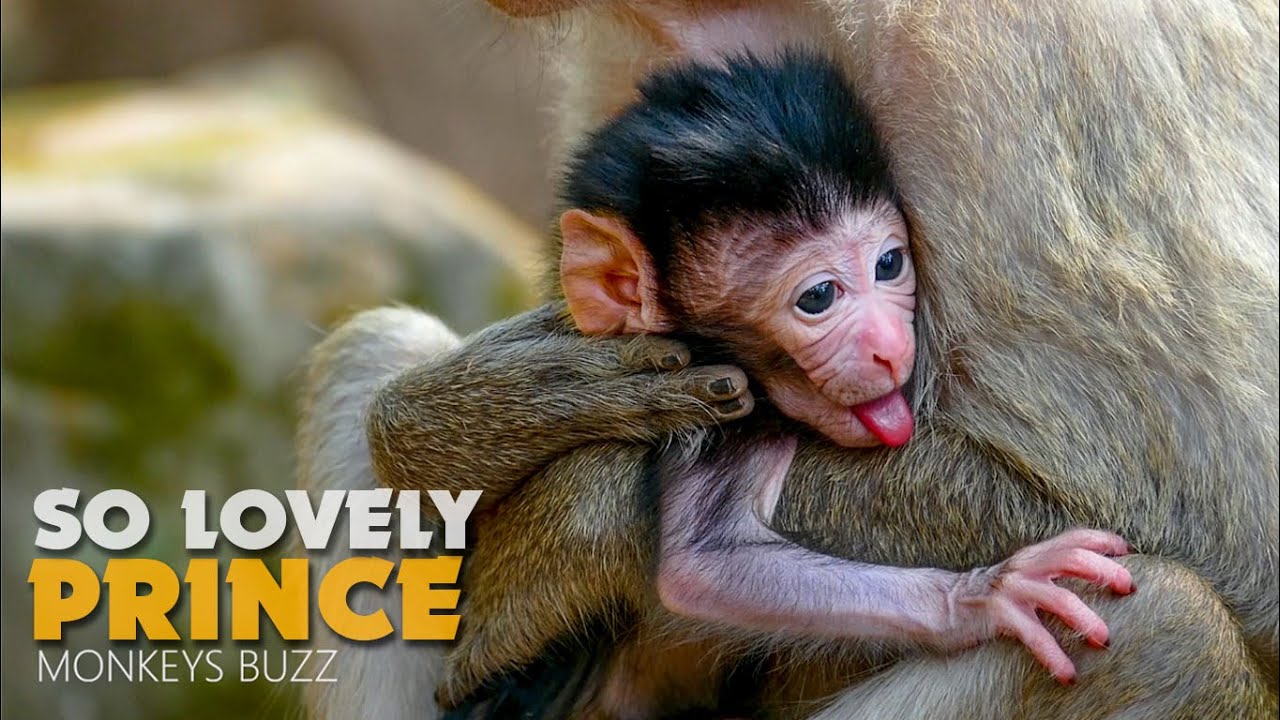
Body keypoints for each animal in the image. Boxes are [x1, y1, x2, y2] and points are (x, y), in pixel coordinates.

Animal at [297, 2, 1278, 719]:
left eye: (889, 268)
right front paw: (468, 419)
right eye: (817, 299)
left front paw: (578, 516)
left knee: (1165, 629)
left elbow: (1225, 537)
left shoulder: (1025, 66)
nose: (882, 345)